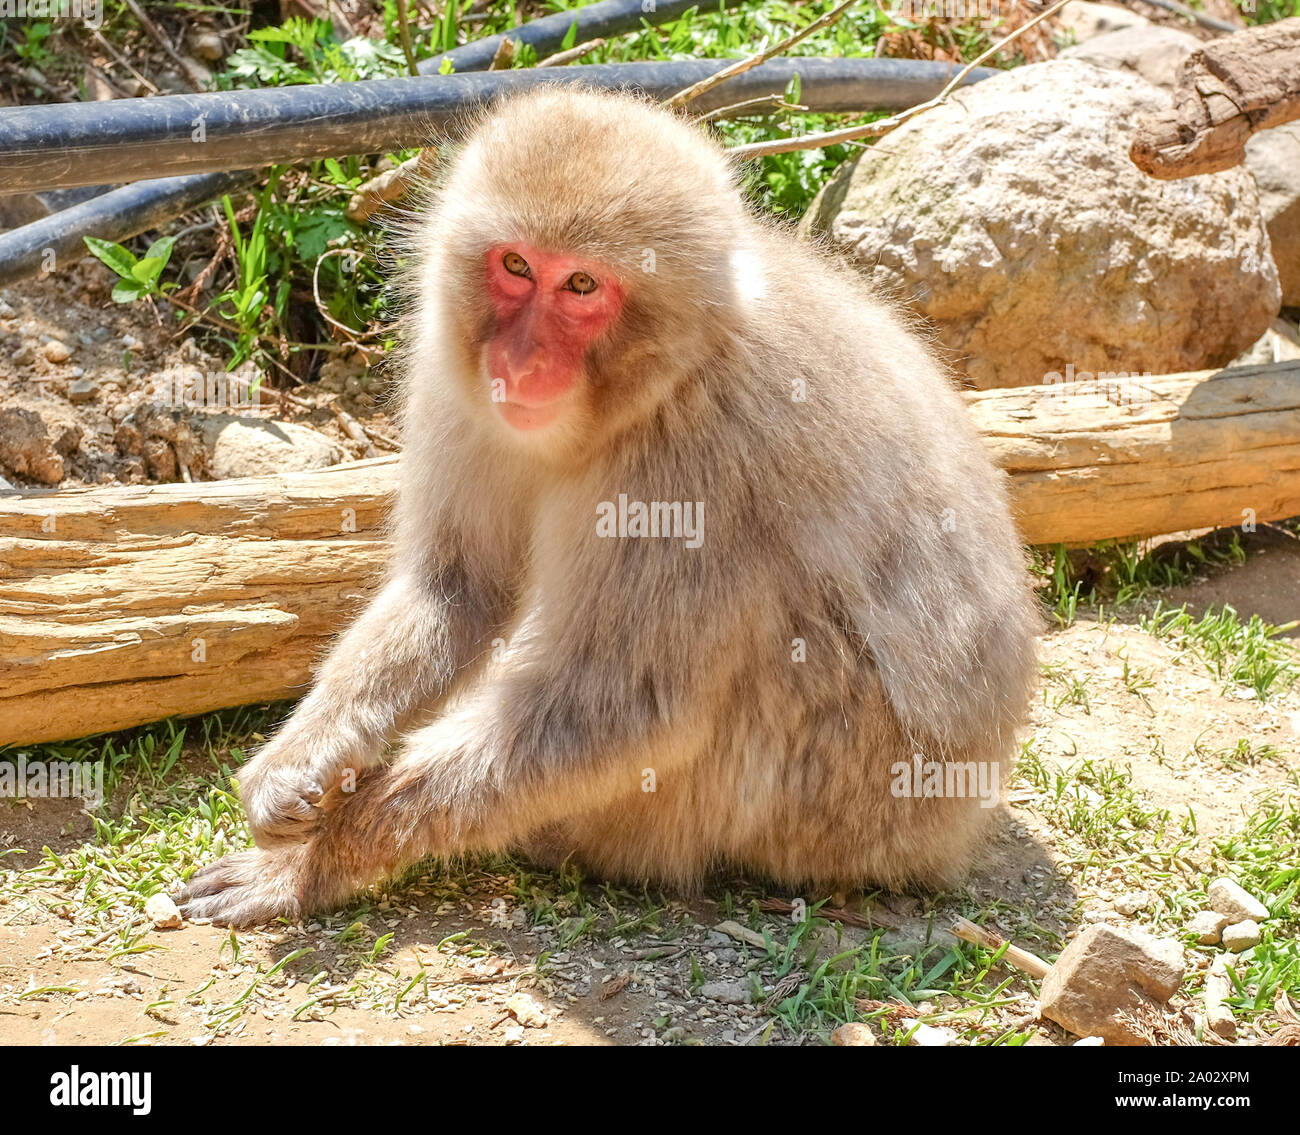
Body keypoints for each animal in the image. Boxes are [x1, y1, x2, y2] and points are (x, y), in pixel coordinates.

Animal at [177, 87, 1038, 927]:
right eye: (516, 265)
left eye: (583, 286)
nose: (521, 359)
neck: (667, 374)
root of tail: (954, 822)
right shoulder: (455, 384)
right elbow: (459, 588)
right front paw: (303, 761)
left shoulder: (689, 467)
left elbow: (625, 709)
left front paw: (315, 862)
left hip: (841, 800)